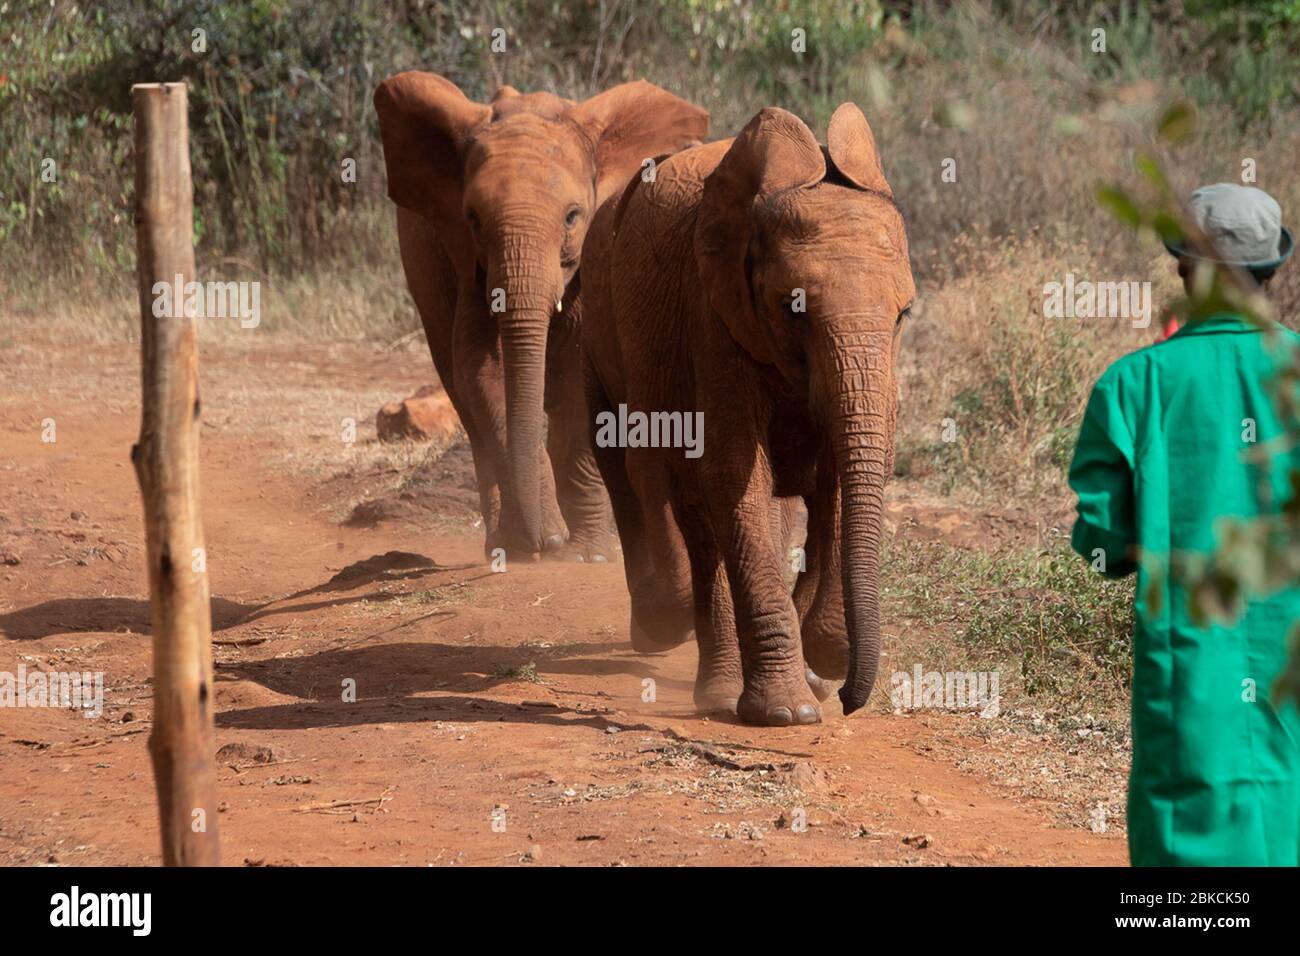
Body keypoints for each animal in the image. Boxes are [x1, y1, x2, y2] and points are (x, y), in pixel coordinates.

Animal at [373, 73, 709, 561]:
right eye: (472, 218)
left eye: (572, 217)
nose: (545, 543)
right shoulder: (467, 258)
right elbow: (480, 369)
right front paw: (541, 539)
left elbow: (578, 384)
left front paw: (586, 554)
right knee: (459, 391)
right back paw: (501, 544)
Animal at [581, 104, 915, 726]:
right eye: (793, 309)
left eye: (905, 314)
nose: (850, 702)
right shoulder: (712, 313)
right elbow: (736, 472)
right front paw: (789, 713)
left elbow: (842, 475)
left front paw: (823, 660)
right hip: (601, 324)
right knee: (673, 494)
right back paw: (709, 680)